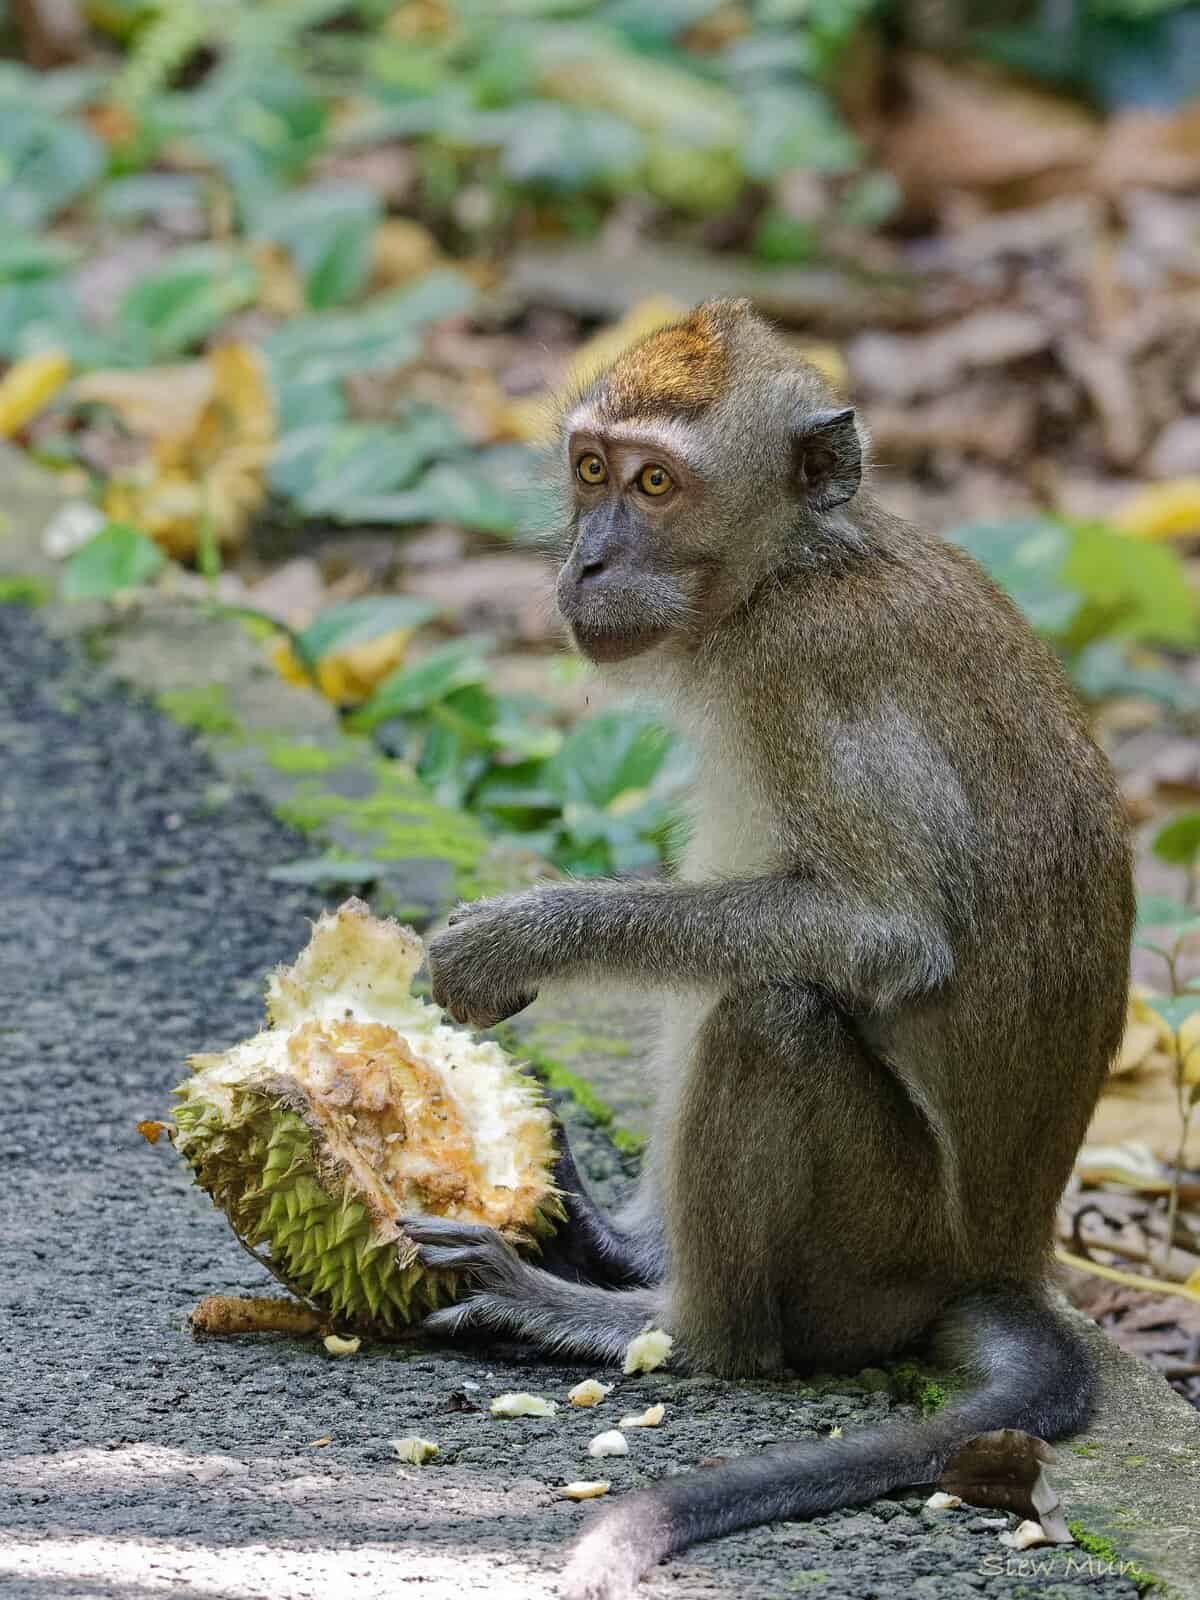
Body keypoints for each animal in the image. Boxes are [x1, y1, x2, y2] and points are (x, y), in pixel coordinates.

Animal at [402, 298, 1134, 1600]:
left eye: (656, 482)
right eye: (590, 470)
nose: (587, 561)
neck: (792, 570)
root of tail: (1004, 1260)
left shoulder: (810, 671)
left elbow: (886, 933)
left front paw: (520, 932)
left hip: (880, 1245)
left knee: (771, 1013)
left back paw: (674, 1328)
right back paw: (625, 1249)